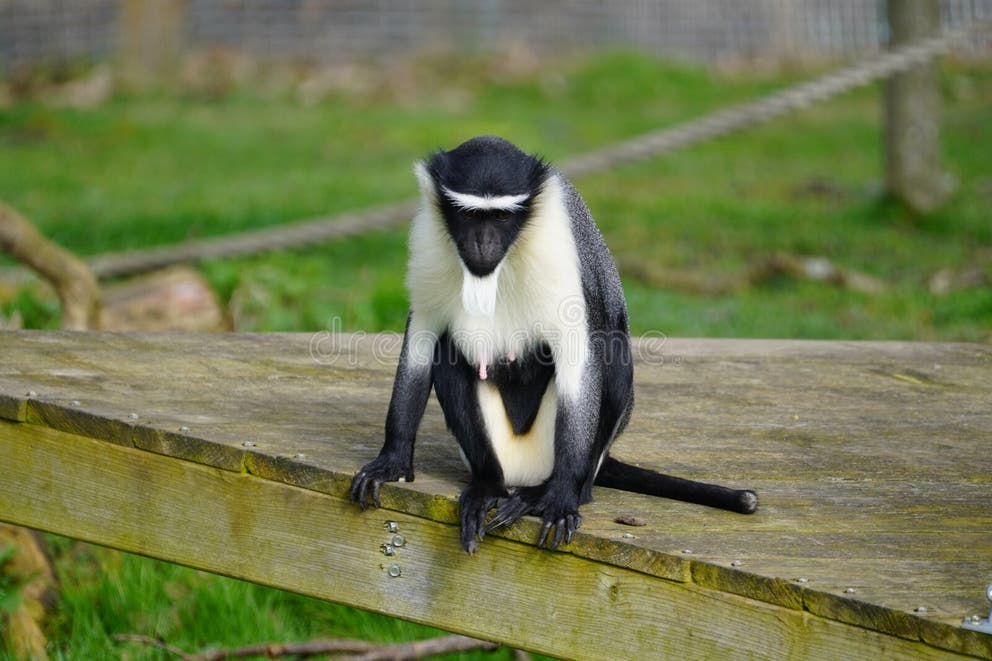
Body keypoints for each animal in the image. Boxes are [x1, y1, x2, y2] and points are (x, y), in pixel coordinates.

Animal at [350, 136, 757, 554]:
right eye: (468, 214)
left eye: (501, 218)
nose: (482, 242)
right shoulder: (431, 241)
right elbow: (423, 339)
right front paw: (393, 460)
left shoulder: (559, 248)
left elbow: (578, 357)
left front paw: (560, 497)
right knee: (448, 348)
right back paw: (488, 487)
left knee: (610, 349)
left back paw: (544, 494)